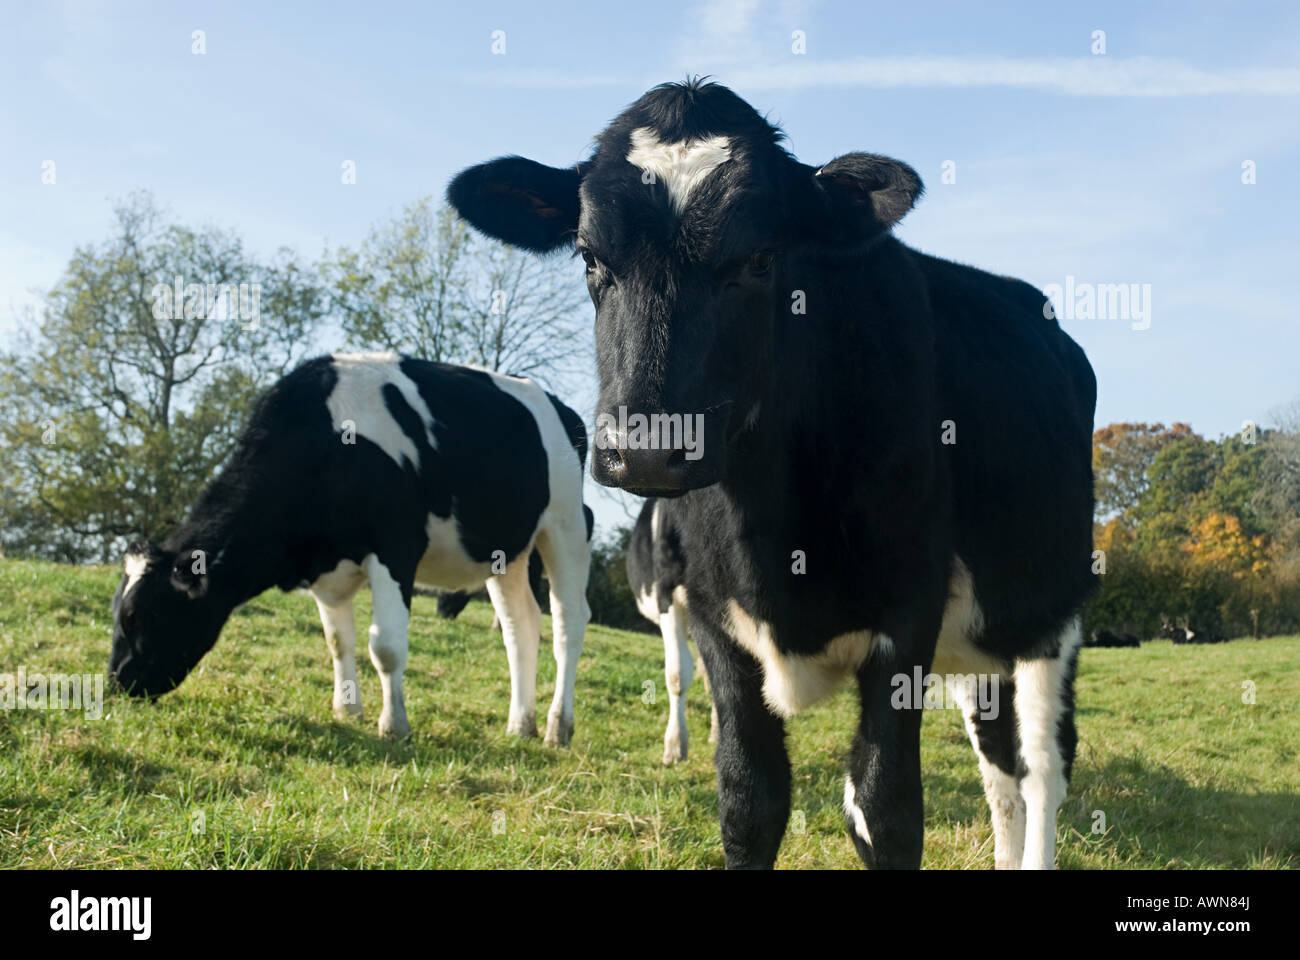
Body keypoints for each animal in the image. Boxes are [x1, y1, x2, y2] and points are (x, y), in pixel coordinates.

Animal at [109, 352, 592, 745]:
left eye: (137, 617)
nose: (116, 684)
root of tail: (563, 408)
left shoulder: (397, 547)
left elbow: (386, 646)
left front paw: (394, 725)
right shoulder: (328, 569)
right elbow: (338, 640)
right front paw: (347, 710)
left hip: (565, 524)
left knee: (567, 623)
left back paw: (558, 727)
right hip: (508, 554)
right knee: (519, 626)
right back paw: (519, 724)